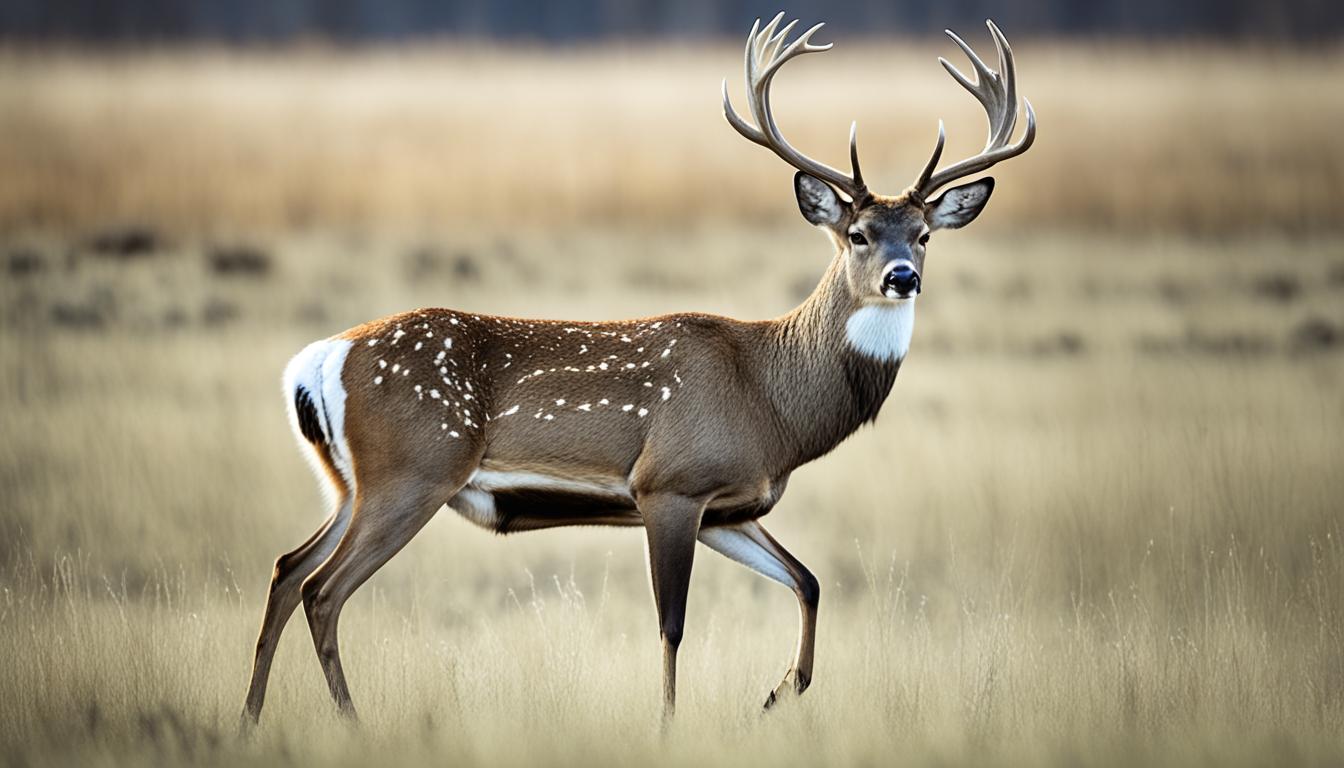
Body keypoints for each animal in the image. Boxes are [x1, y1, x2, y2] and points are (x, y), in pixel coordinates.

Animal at [241, 13, 1035, 726]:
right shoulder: (670, 482)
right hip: (411, 470)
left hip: (348, 481)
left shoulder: (730, 507)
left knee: (285, 568)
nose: (903, 276)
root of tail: (321, 358)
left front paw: (776, 694)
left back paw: (251, 718)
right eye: (859, 234)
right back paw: (352, 722)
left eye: (925, 234)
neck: (772, 402)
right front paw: (669, 725)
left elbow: (809, 582)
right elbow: (673, 625)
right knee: (322, 590)